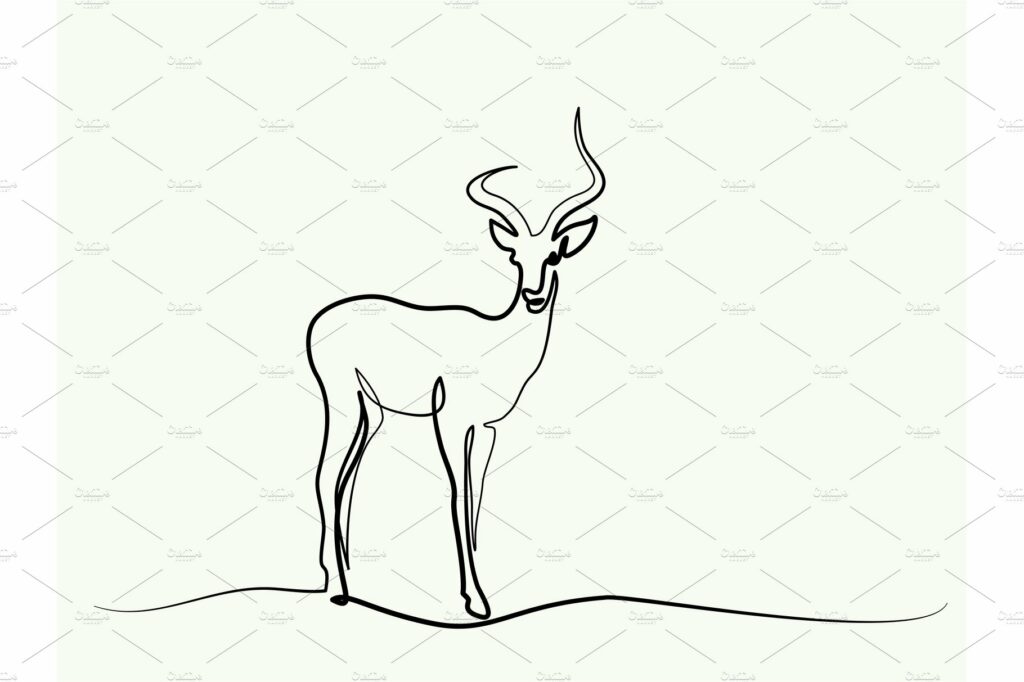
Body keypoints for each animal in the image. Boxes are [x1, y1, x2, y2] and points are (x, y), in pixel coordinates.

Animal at [306, 108, 605, 619]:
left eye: (552, 255)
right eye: (514, 256)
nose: (533, 296)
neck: (494, 342)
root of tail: (320, 320)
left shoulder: (485, 429)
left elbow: (477, 498)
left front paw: (485, 596)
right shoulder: (447, 421)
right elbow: (455, 495)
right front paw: (473, 602)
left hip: (372, 413)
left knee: (348, 480)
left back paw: (348, 579)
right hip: (342, 403)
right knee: (325, 479)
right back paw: (339, 589)